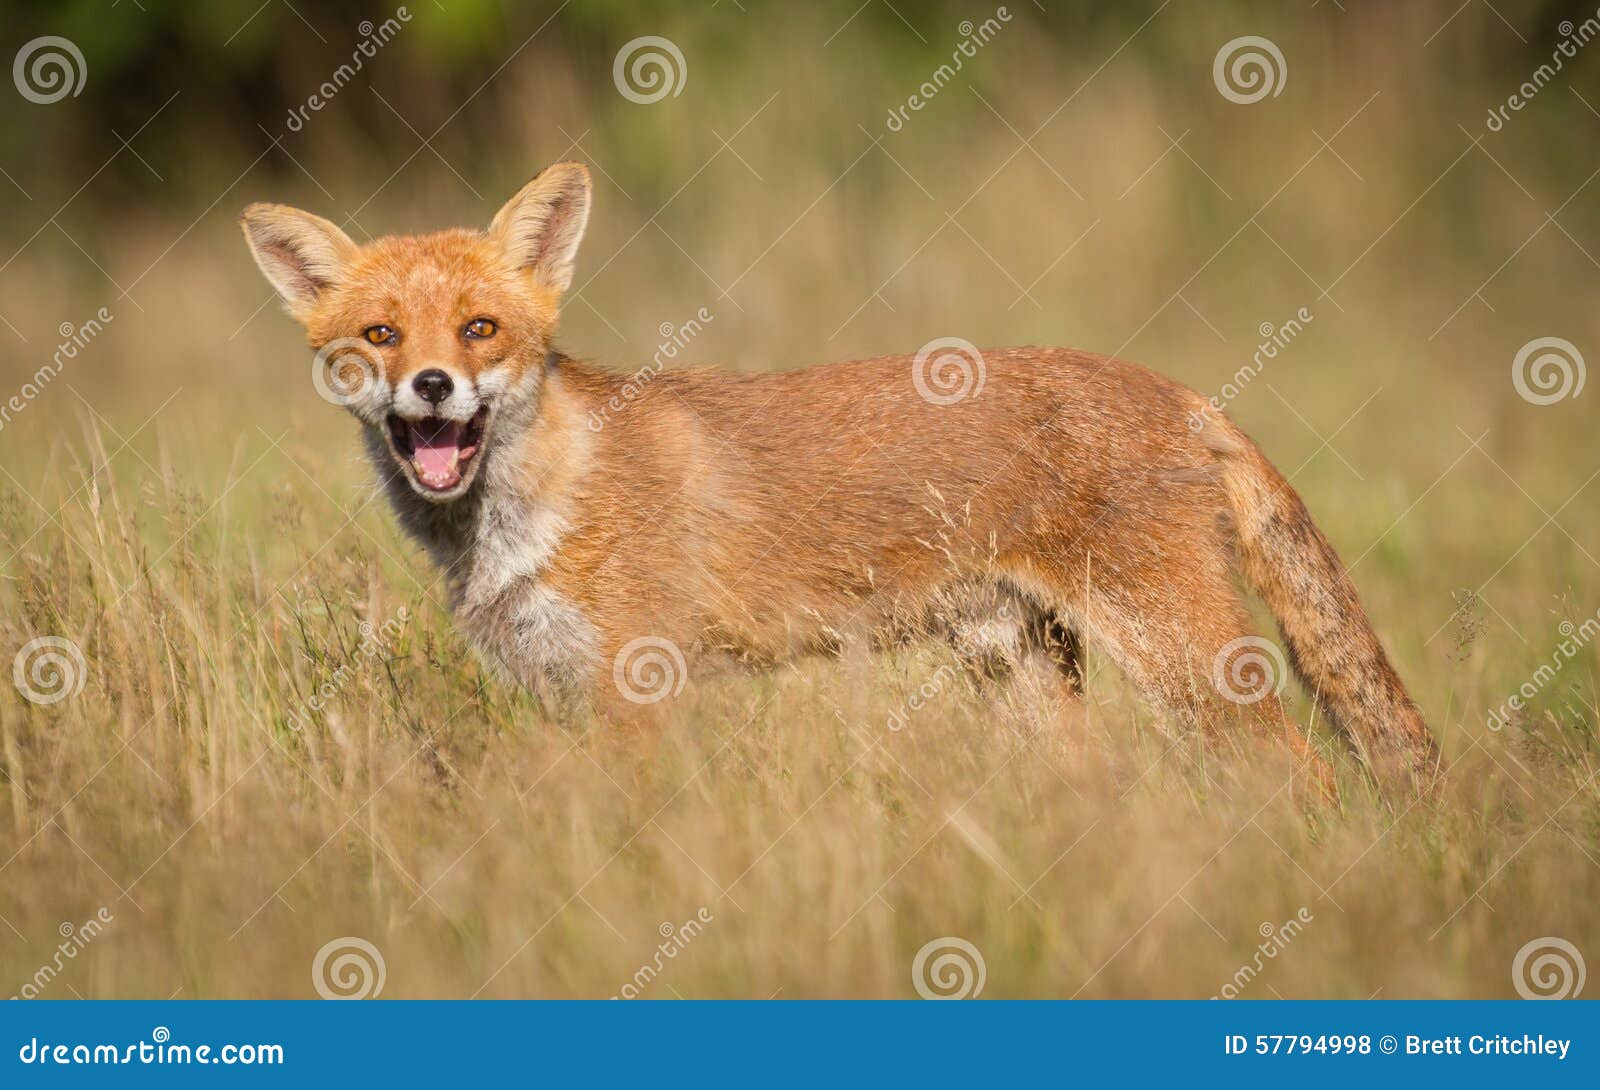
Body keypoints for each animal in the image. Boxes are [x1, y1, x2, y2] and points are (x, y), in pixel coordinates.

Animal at [241, 160, 1439, 797]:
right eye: (381, 335)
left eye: (480, 329)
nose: (434, 386)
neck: (519, 516)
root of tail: (1185, 391)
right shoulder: (563, 695)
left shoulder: (639, 688)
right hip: (1021, 673)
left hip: (1183, 662)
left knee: (1304, 769)